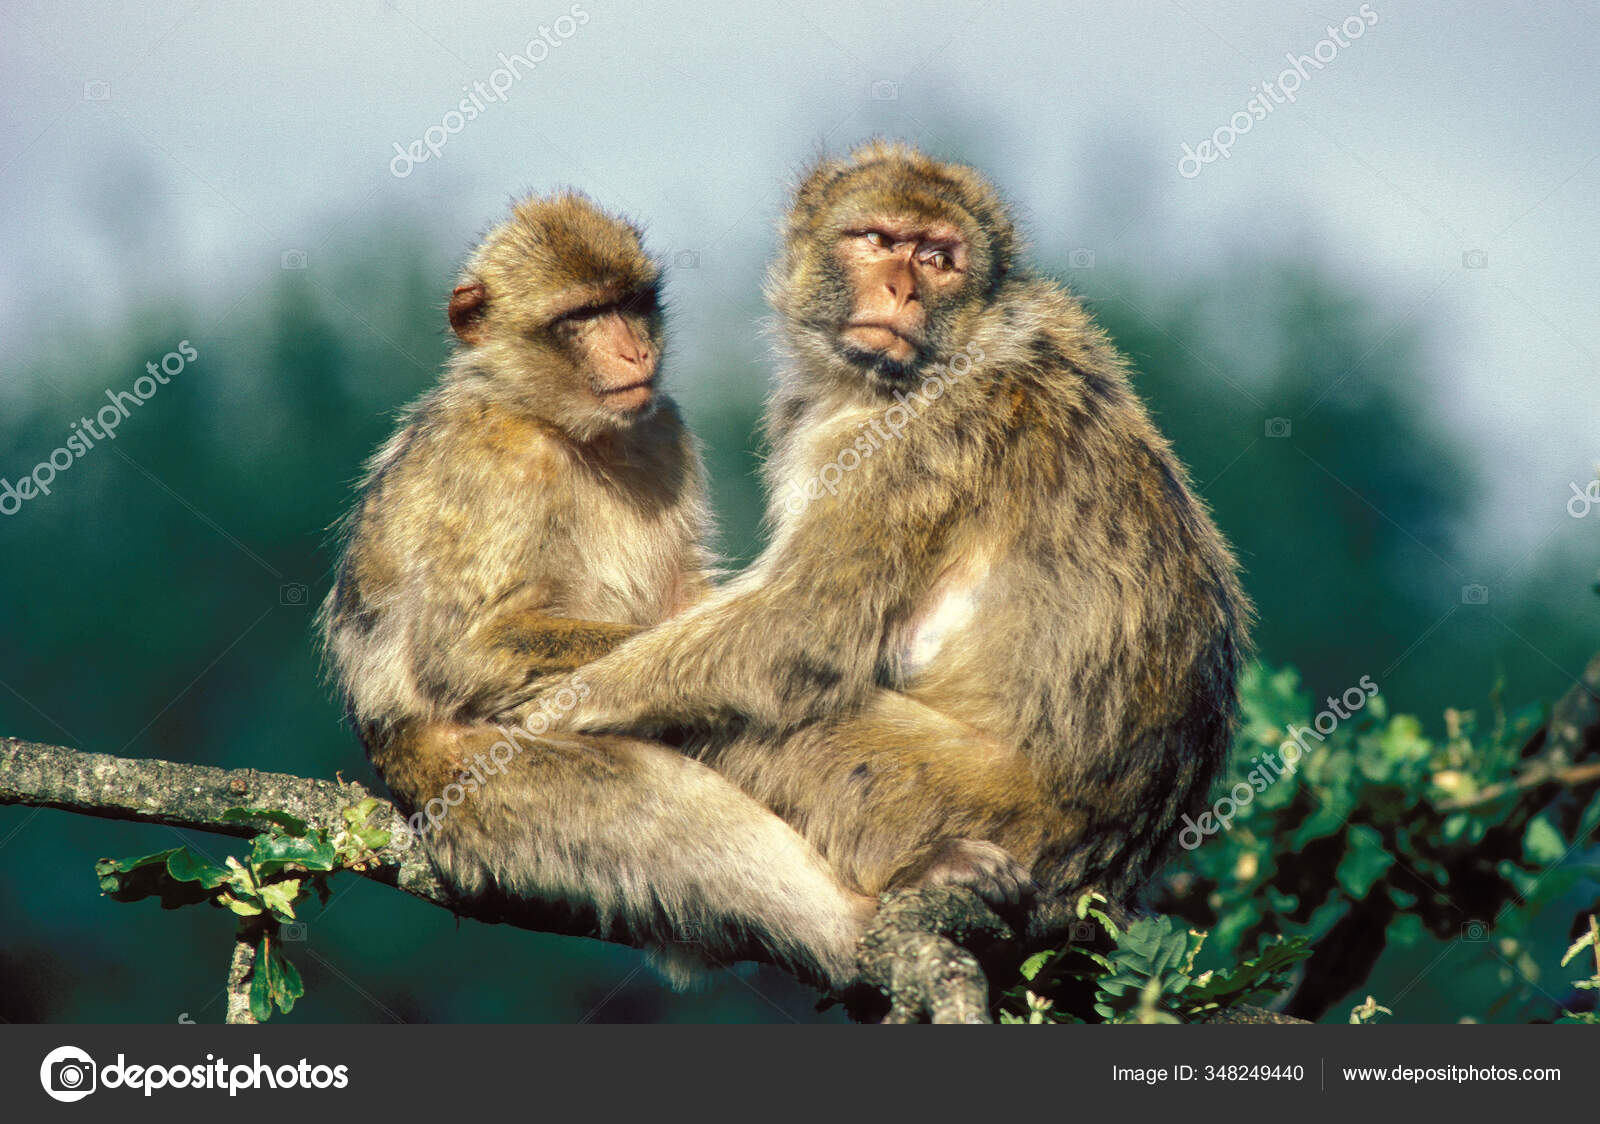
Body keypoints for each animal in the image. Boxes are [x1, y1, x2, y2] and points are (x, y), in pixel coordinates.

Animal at [317, 192, 876, 989]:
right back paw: (848, 924)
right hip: (465, 784)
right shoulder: (495, 463)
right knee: (640, 793)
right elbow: (461, 654)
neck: (557, 423)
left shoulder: (664, 429)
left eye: (628, 303)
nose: (634, 352)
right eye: (581, 316)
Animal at [531, 142, 1251, 936]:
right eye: (877, 239)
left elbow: (800, 625)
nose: (903, 287)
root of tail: (1104, 877)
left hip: (958, 801)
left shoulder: (915, 445)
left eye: (939, 258)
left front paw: (568, 702)